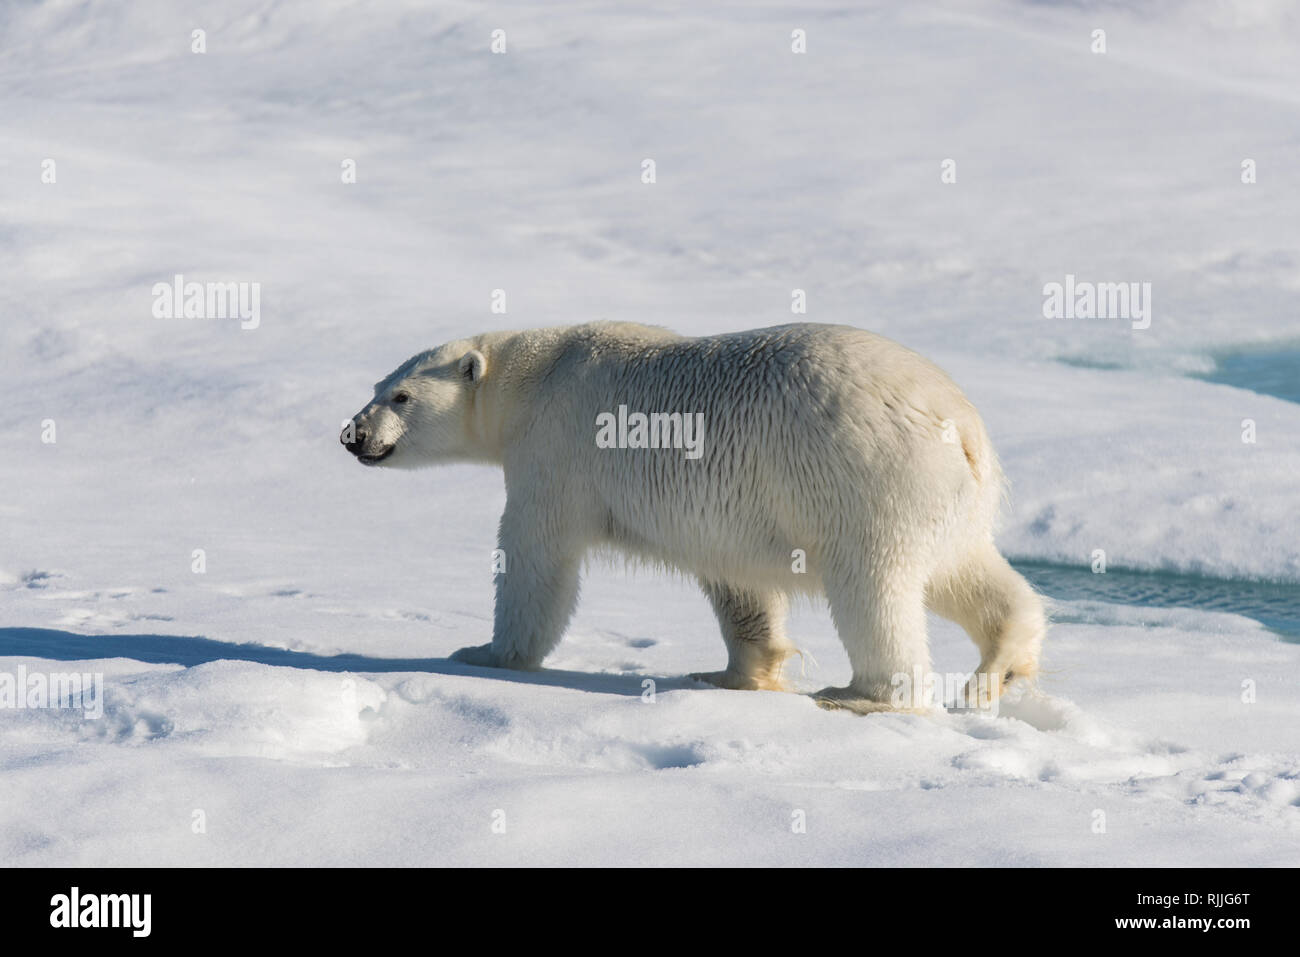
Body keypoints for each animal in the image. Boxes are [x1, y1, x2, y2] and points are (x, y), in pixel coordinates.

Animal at [342, 322, 1046, 714]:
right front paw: (730, 675)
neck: (534, 376)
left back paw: (862, 696)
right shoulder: (728, 513)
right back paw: (998, 669)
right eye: (377, 387)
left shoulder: (556, 447)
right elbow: (740, 583)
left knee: (874, 587)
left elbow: (535, 557)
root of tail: (961, 425)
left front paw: (486, 654)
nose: (353, 434)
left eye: (400, 396)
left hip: (864, 477)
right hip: (945, 496)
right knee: (962, 568)